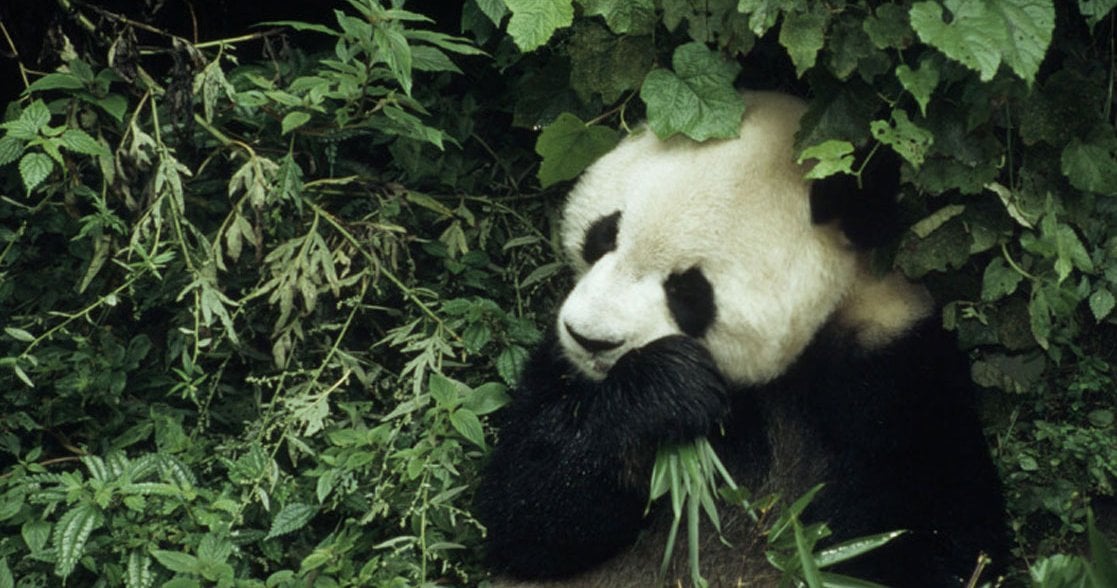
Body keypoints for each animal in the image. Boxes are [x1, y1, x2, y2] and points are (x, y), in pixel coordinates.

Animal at [474, 91, 1007, 587]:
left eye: (688, 290)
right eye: (603, 235)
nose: (590, 339)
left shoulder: (897, 370)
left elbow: (943, 535)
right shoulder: (563, 369)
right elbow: (531, 513)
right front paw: (666, 390)